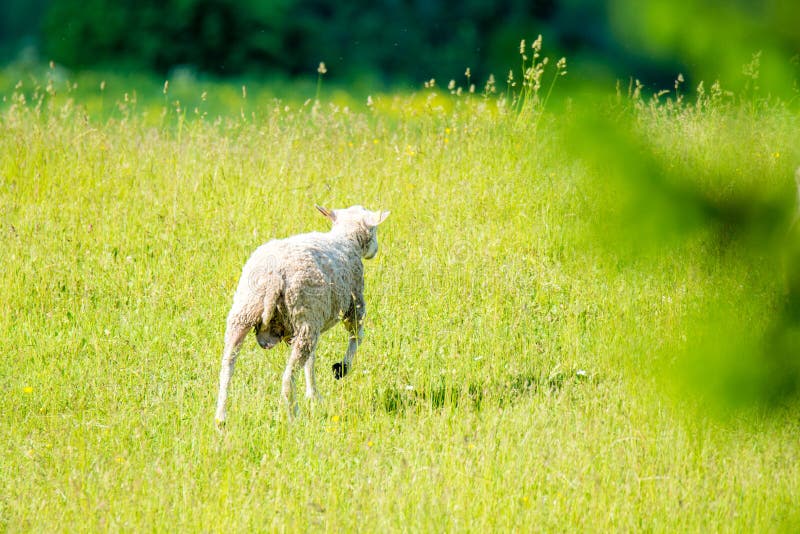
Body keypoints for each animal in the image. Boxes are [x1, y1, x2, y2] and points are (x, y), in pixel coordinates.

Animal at [214, 204, 390, 424]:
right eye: (374, 230)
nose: (375, 251)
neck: (346, 239)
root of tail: (274, 276)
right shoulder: (353, 303)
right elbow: (357, 337)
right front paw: (341, 368)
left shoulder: (315, 319)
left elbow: (311, 360)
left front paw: (313, 394)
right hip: (303, 317)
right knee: (287, 379)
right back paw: (294, 419)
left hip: (244, 313)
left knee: (227, 368)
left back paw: (221, 418)